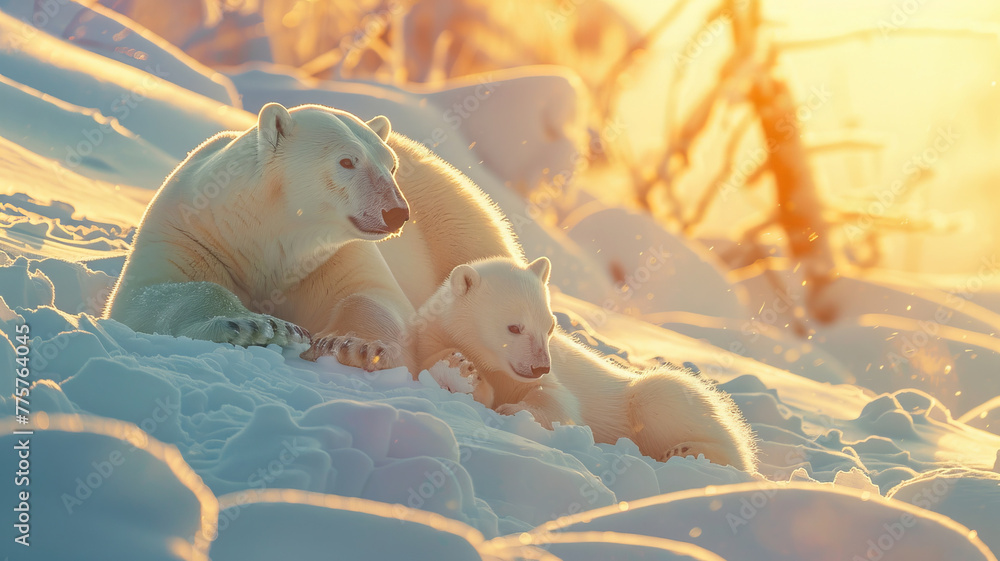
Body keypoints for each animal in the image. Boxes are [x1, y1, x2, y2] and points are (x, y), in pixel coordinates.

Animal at [106, 103, 417, 370]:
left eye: (391, 166)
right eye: (346, 161)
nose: (396, 213)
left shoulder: (333, 257)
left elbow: (375, 295)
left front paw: (353, 345)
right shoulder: (192, 232)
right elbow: (147, 293)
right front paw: (261, 326)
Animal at [406, 257, 755, 470]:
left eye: (549, 326)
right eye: (514, 327)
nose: (540, 367)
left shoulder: (549, 377)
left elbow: (558, 402)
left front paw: (515, 409)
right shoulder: (434, 337)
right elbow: (450, 371)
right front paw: (459, 370)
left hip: (659, 397)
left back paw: (686, 451)